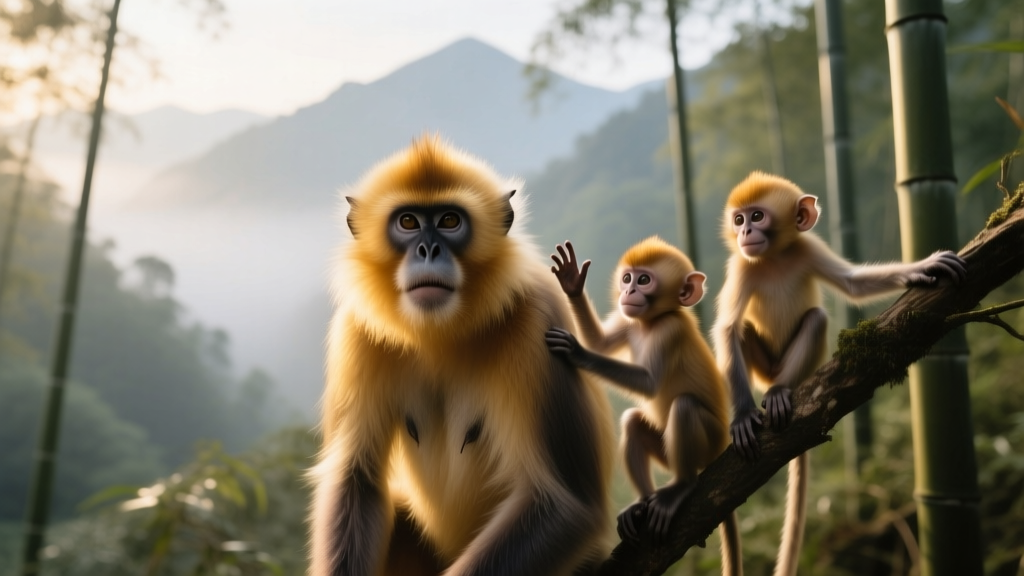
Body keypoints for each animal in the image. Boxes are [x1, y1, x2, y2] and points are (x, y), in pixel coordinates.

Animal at [308, 136, 616, 576]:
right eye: (408, 223)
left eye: (450, 220)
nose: (428, 249)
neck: (441, 331)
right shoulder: (359, 330)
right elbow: (356, 478)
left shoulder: (537, 318)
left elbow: (564, 506)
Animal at [545, 237, 742, 575]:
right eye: (627, 278)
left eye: (645, 280)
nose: (629, 292)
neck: (651, 323)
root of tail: (718, 451)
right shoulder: (630, 322)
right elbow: (601, 343)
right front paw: (572, 282)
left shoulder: (670, 330)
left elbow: (649, 383)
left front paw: (576, 352)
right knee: (634, 423)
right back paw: (641, 503)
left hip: (709, 440)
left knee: (684, 407)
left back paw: (681, 486)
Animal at [712, 171, 966, 576]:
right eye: (739, 220)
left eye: (757, 216)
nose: (745, 232)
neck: (774, 257)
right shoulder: (741, 265)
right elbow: (727, 329)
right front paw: (741, 416)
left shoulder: (808, 247)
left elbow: (852, 284)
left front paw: (923, 267)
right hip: (762, 366)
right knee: (745, 331)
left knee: (817, 318)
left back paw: (781, 392)